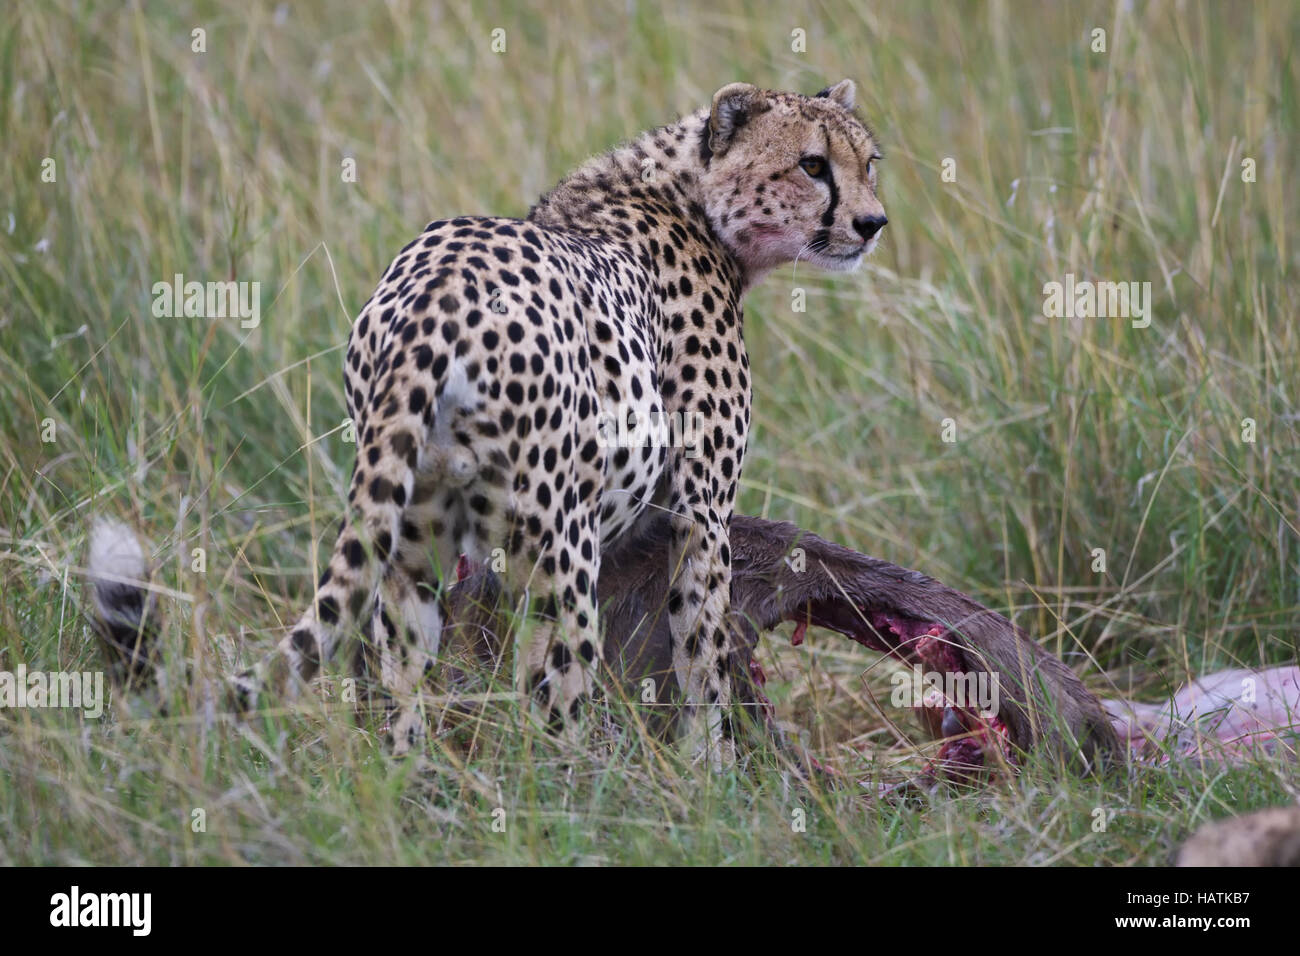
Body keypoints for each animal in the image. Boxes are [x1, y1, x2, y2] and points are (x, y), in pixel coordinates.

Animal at [95, 79, 887, 767]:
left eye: (868, 162)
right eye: (813, 165)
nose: (872, 223)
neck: (689, 195)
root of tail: (437, 292)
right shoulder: (701, 511)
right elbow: (702, 647)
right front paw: (711, 774)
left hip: (411, 537)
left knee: (406, 679)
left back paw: (412, 786)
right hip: (559, 548)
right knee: (559, 695)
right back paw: (574, 800)